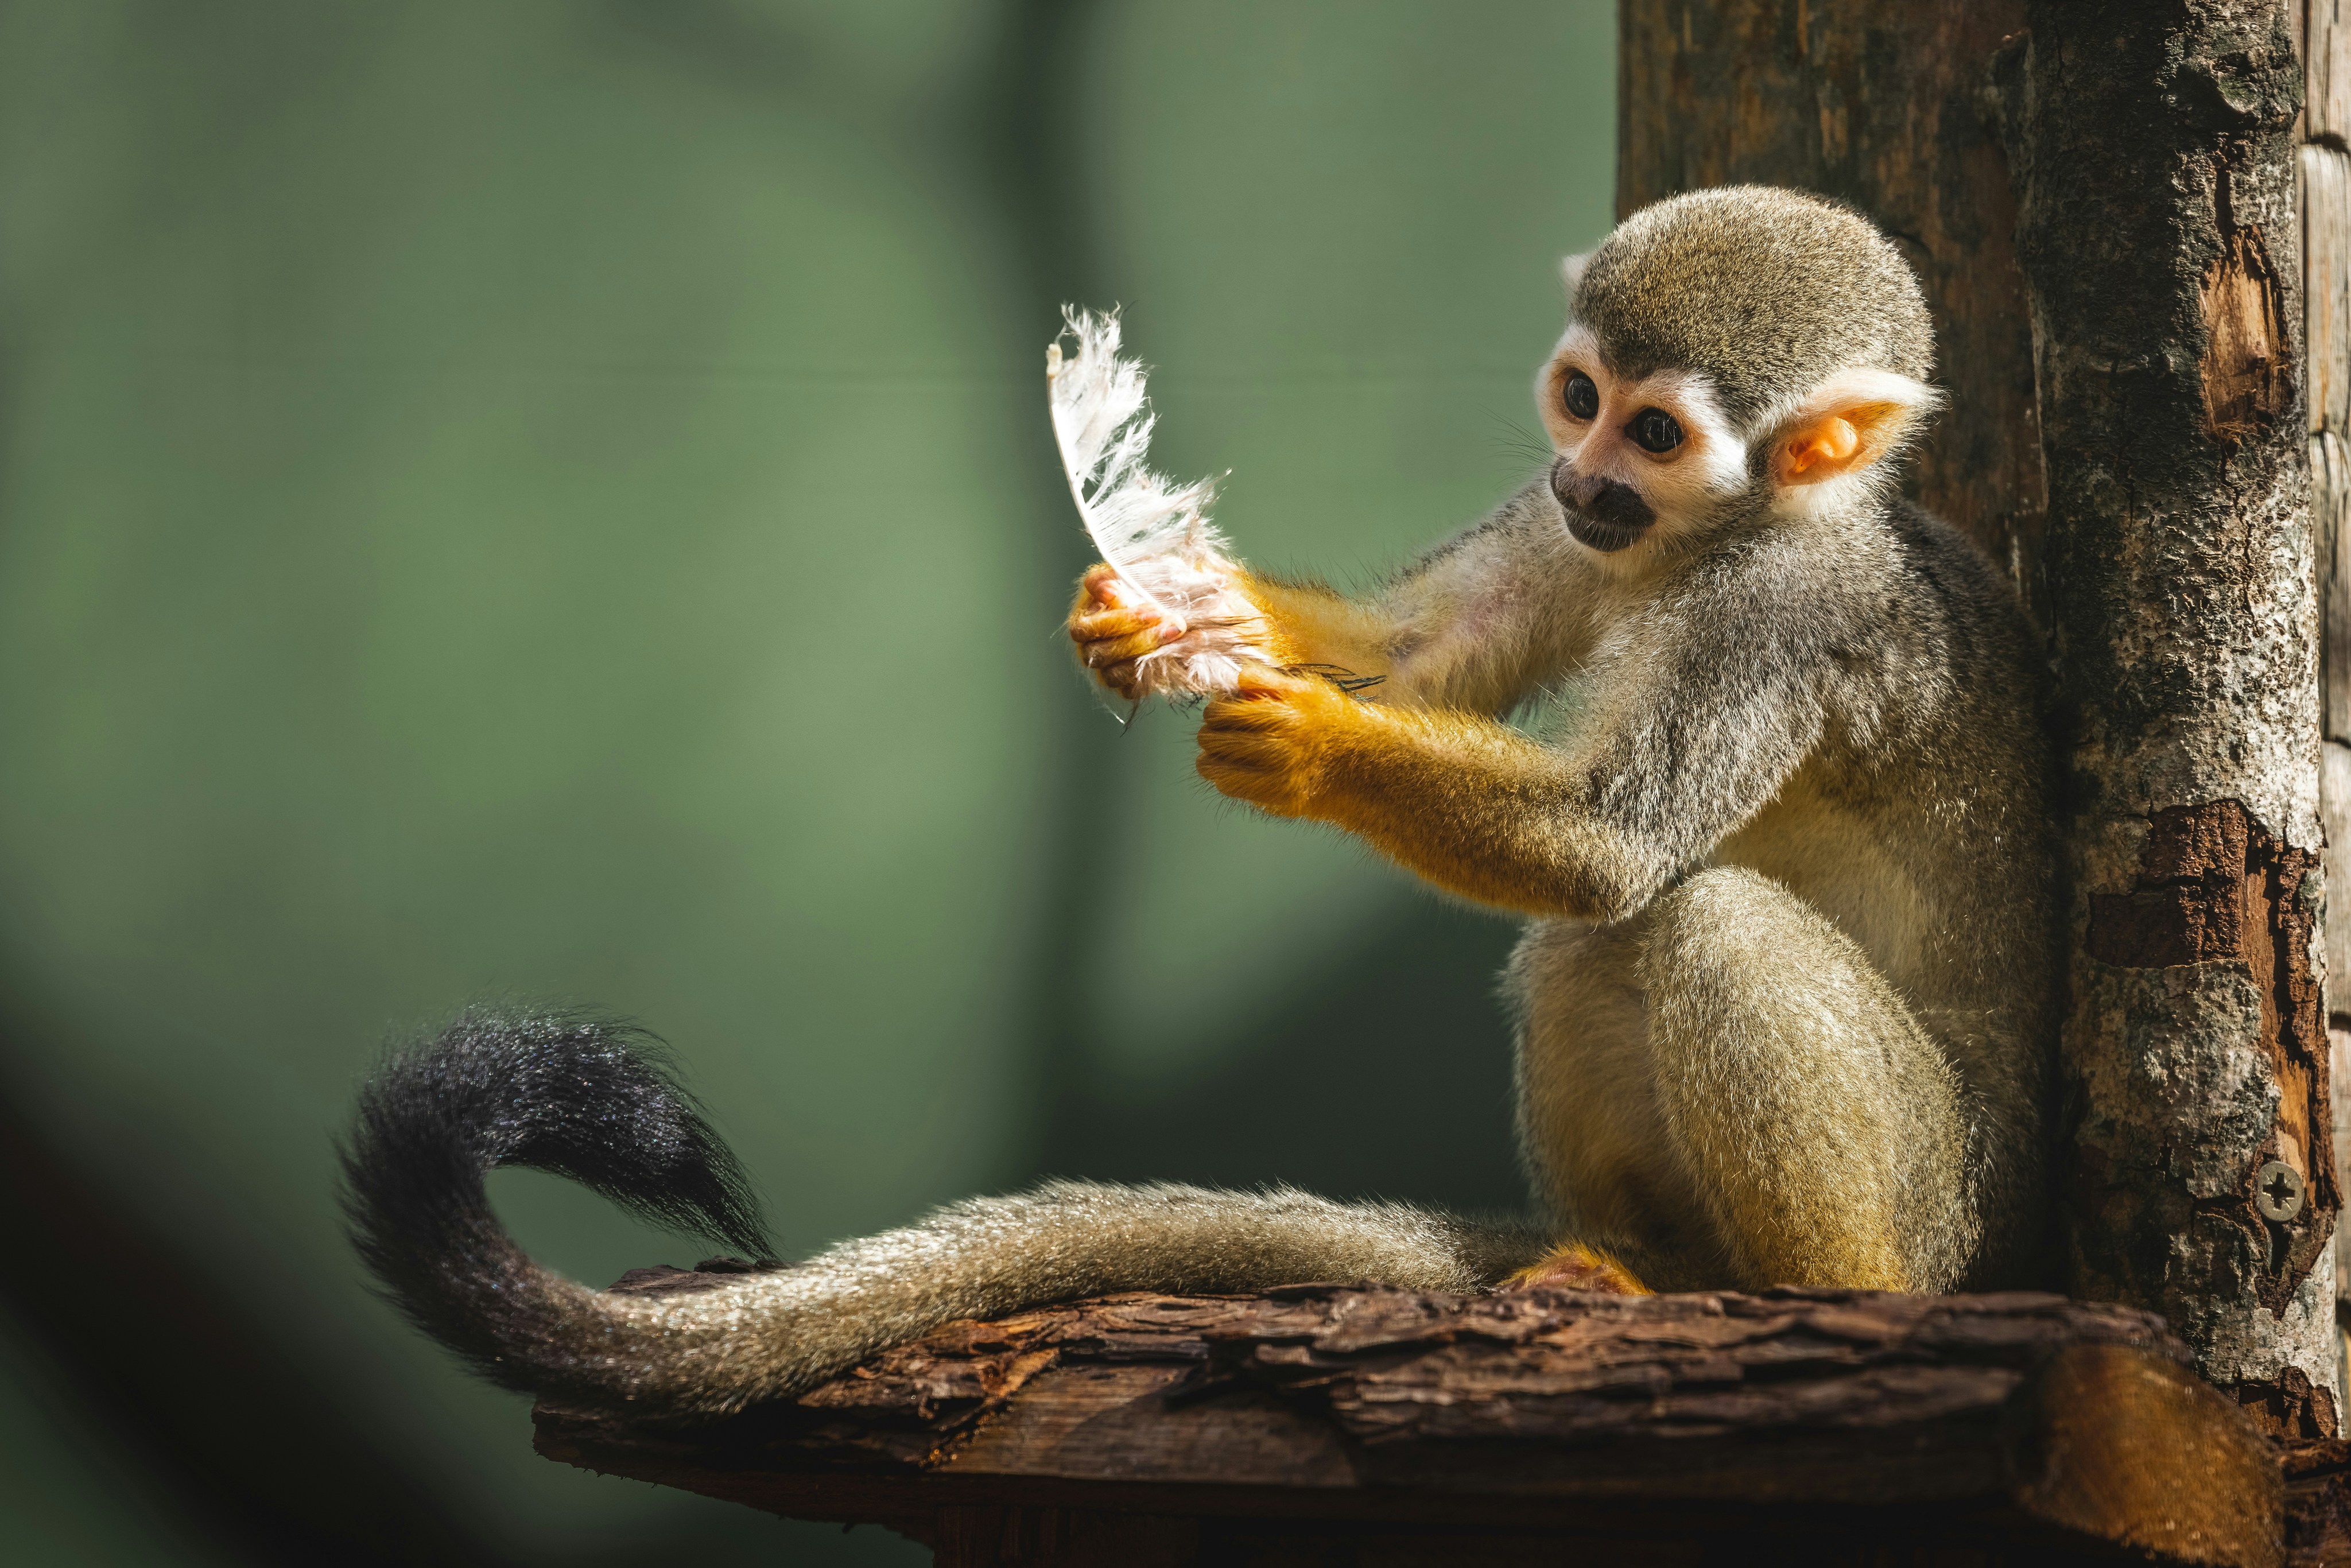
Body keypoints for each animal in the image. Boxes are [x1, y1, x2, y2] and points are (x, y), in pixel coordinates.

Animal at [342, 186, 2053, 1417]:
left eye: (1657, 431)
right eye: (1580, 401)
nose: (1585, 480)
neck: (1725, 534)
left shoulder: (1778, 616)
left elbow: (1613, 846)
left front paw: (1313, 749)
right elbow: (1439, 650)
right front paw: (1171, 615)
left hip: (1947, 1196)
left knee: (1698, 920)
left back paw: (1828, 1301)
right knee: (1600, 945)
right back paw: (1651, 1266)